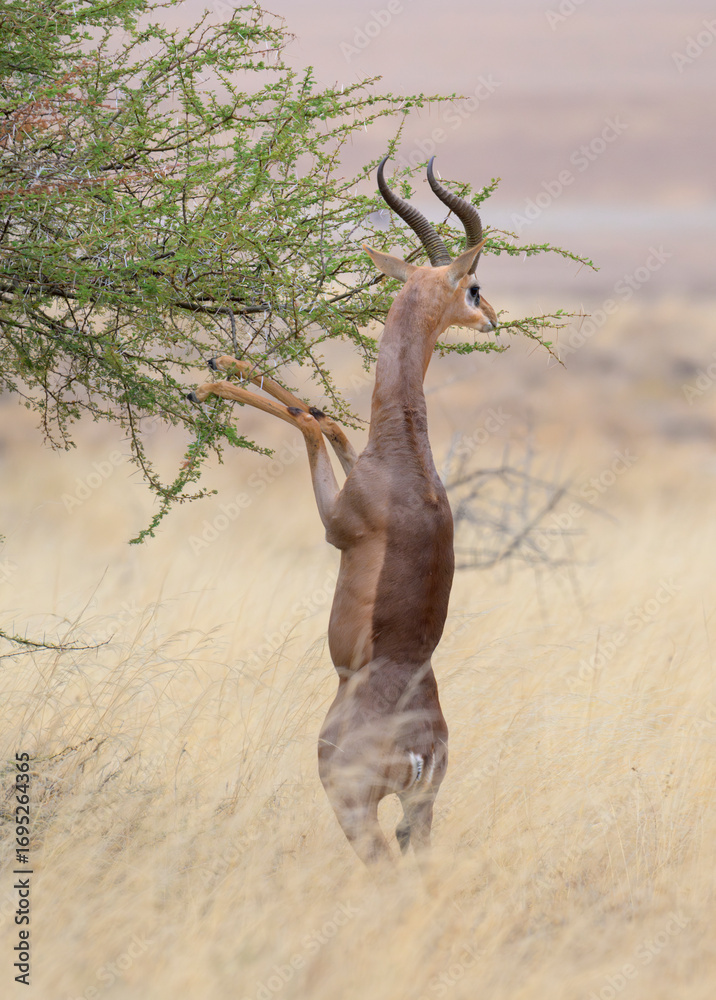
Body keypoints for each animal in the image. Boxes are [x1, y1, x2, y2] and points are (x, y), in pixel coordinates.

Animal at [188, 156, 497, 864]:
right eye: (474, 289)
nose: (493, 317)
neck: (405, 451)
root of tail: (418, 749)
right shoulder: (355, 458)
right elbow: (326, 419)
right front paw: (225, 357)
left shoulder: (334, 524)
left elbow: (305, 424)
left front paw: (209, 379)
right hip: (422, 811)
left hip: (352, 804)